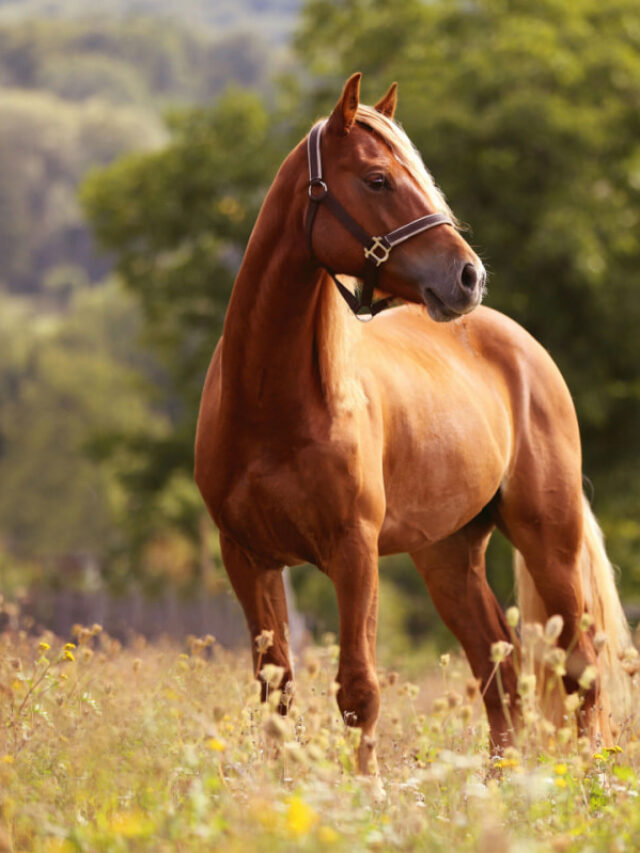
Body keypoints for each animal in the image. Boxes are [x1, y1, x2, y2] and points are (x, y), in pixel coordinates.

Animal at [195, 73, 632, 774]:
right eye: (377, 179)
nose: (468, 276)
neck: (271, 404)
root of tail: (523, 346)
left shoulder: (353, 551)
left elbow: (358, 690)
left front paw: (366, 792)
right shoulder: (247, 557)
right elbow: (276, 694)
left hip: (549, 540)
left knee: (579, 670)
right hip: (448, 555)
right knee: (498, 672)